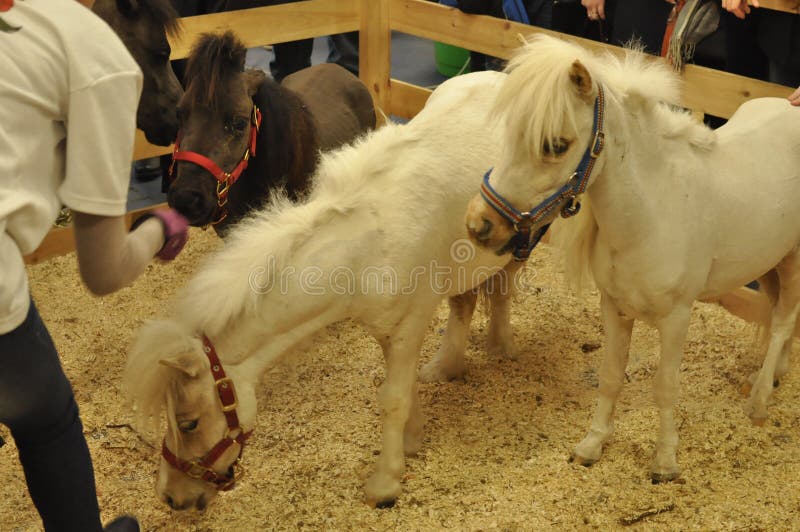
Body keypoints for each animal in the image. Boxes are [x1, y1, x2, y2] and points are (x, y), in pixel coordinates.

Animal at [124, 69, 538, 510]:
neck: (368, 244)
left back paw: (502, 345)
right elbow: (404, 386)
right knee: (467, 298)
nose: (171, 496)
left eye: (188, 423)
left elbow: (393, 398)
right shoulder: (387, 328)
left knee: (503, 288)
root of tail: (501, 75)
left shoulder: (410, 323)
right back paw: (449, 366)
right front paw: (411, 439)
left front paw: (385, 482)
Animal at [465, 33, 800, 483]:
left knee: (782, 321)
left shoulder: (677, 318)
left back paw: (760, 402)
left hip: (793, 258)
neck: (652, 211)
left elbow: (665, 387)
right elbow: (609, 376)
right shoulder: (614, 307)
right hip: (767, 261)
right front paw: (592, 444)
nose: (478, 224)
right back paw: (772, 376)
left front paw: (665, 462)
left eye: (555, 145)